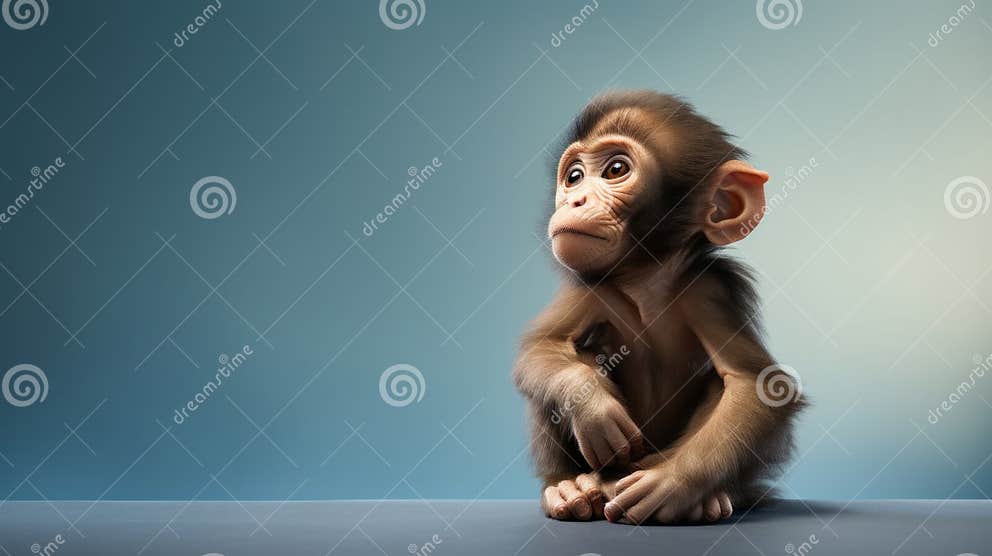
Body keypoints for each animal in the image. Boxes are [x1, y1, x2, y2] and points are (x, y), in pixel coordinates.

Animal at [513, 90, 805, 525]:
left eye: (616, 169)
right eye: (575, 176)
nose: (575, 199)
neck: (645, 276)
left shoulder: (710, 290)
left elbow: (754, 383)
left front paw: (672, 482)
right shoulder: (588, 289)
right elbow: (544, 346)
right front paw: (592, 404)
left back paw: (710, 499)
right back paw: (567, 488)